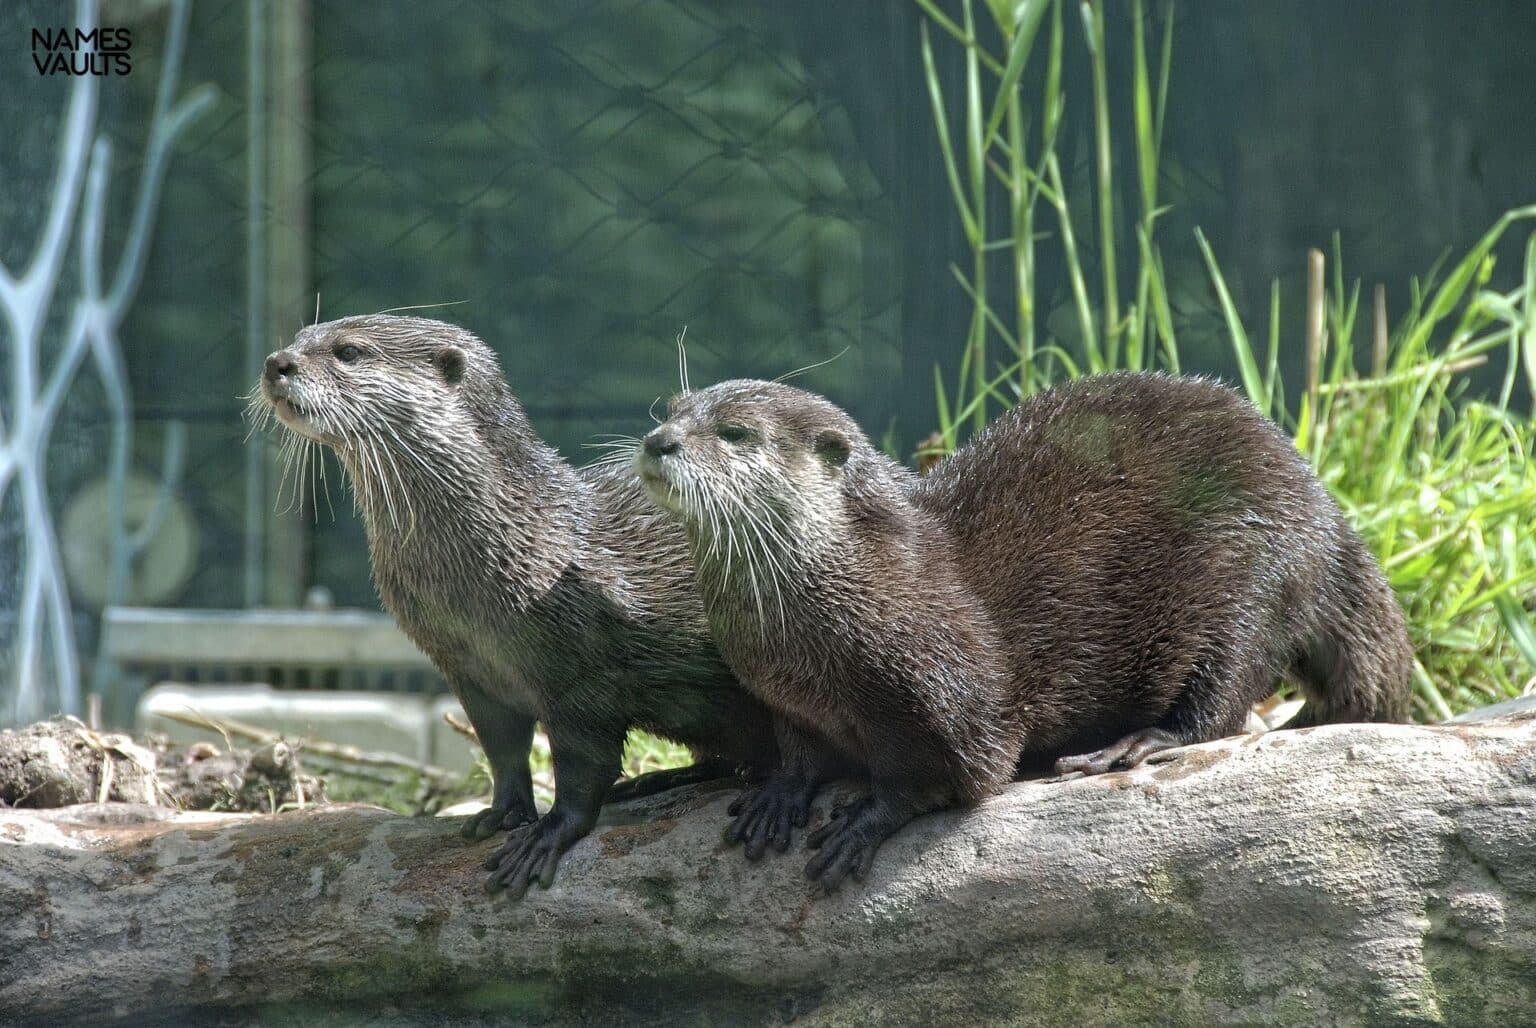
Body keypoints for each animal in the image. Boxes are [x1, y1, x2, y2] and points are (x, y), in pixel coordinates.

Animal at [255, 315, 778, 898]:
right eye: (300, 337)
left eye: (348, 351)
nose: (277, 362)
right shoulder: (468, 670)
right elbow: (502, 748)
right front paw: (501, 814)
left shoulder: (580, 676)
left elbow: (583, 764)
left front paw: (549, 832)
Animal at [636, 374, 1412, 889]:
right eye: (669, 409)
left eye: (736, 433)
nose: (658, 441)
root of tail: (1322, 511)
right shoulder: (785, 699)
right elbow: (798, 753)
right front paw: (780, 795)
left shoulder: (949, 690)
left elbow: (954, 771)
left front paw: (866, 819)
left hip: (1251, 578)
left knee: (1220, 702)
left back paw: (1129, 745)